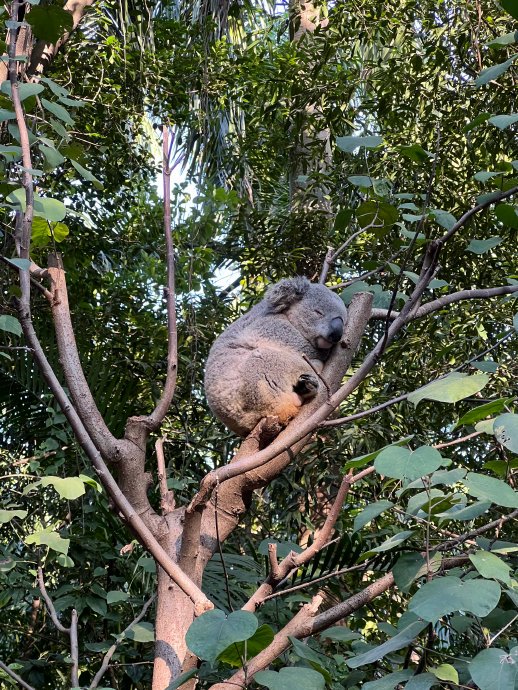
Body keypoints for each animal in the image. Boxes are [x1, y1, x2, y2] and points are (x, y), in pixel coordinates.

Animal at [204, 277, 348, 437]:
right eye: (318, 312)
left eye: (344, 320)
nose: (336, 334)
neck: (285, 314)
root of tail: (244, 425)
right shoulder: (269, 326)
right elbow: (303, 346)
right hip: (257, 382)